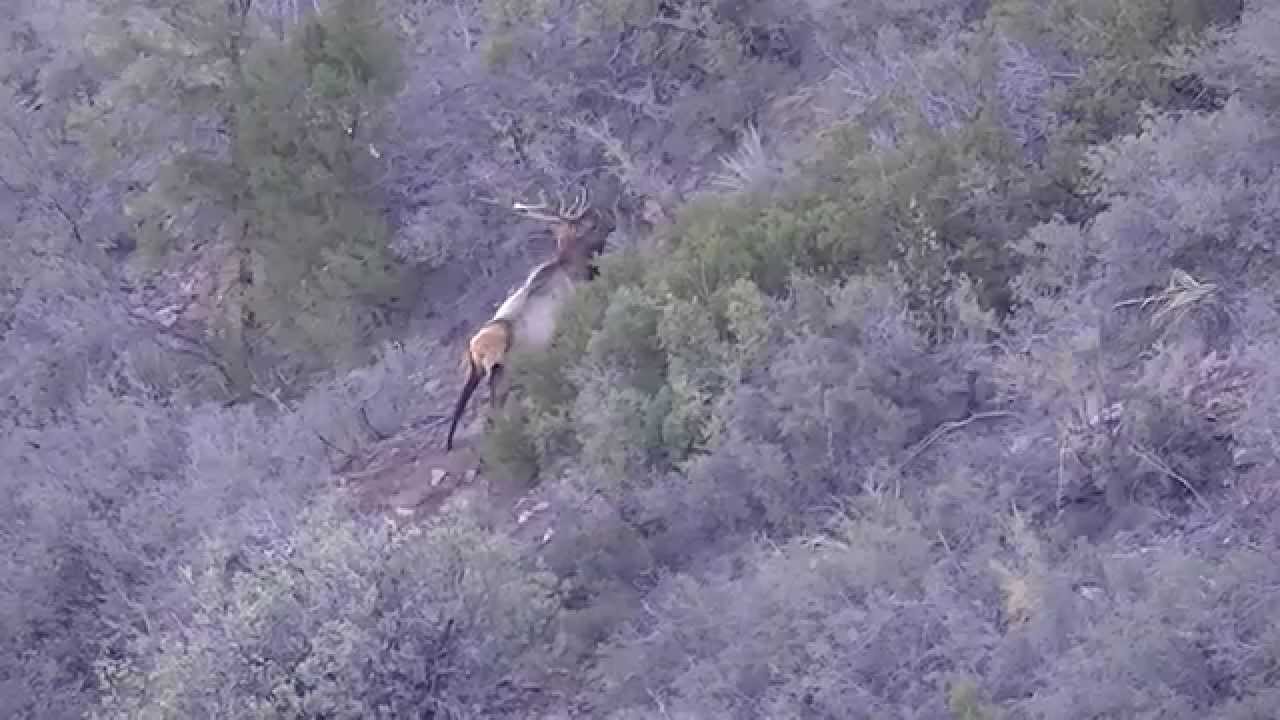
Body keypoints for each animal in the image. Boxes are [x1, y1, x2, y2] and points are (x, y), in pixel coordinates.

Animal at [445, 186, 614, 452]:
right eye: (591, 224)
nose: (612, 222)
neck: (578, 268)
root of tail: (476, 348)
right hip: (503, 374)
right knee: (493, 415)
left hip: (476, 372)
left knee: (461, 407)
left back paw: (451, 444)